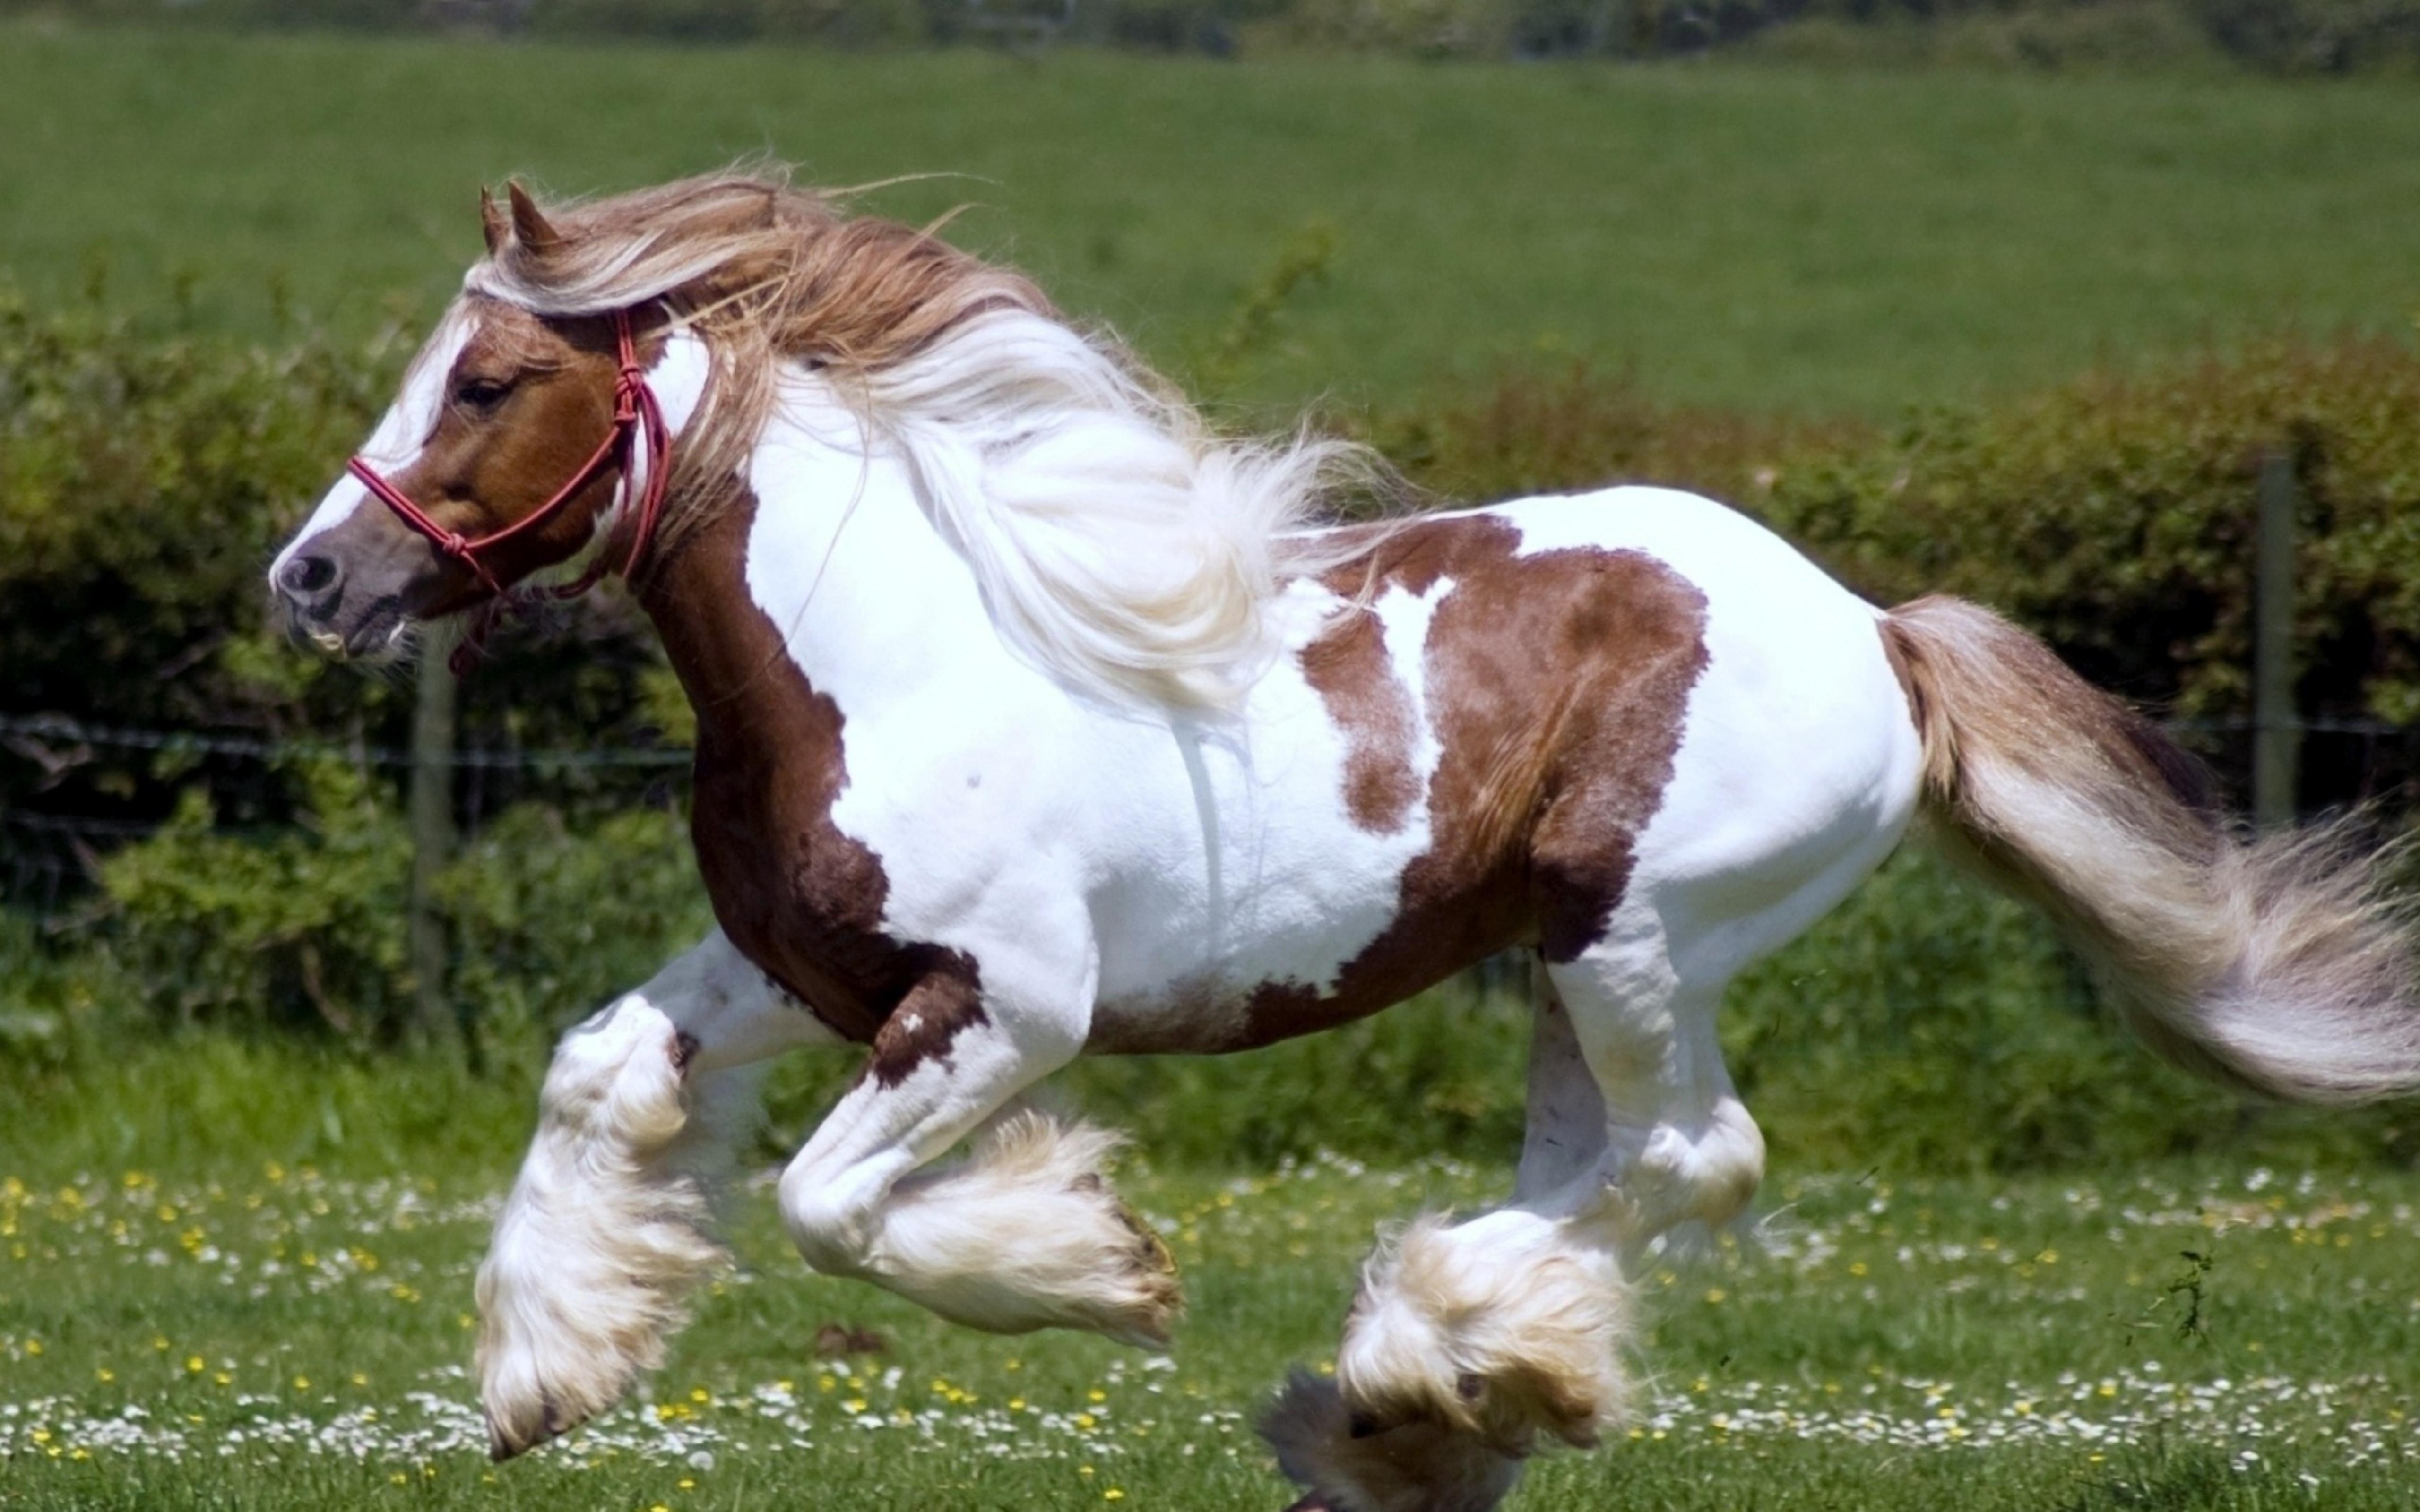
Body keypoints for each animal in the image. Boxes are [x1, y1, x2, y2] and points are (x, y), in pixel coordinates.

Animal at [268, 170, 2420, 1512]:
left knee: (1693, 1156)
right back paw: (1429, 1407)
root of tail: (1876, 632)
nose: (311, 577)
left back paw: (1415, 1364)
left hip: (1635, 936)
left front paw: (1102, 1267)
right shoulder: (794, 967)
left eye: (486, 377)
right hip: (1562, 968)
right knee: (1607, 1165)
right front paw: (543, 1374)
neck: (894, 648)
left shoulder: (1005, 1010)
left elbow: (823, 1204)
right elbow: (597, 1071)